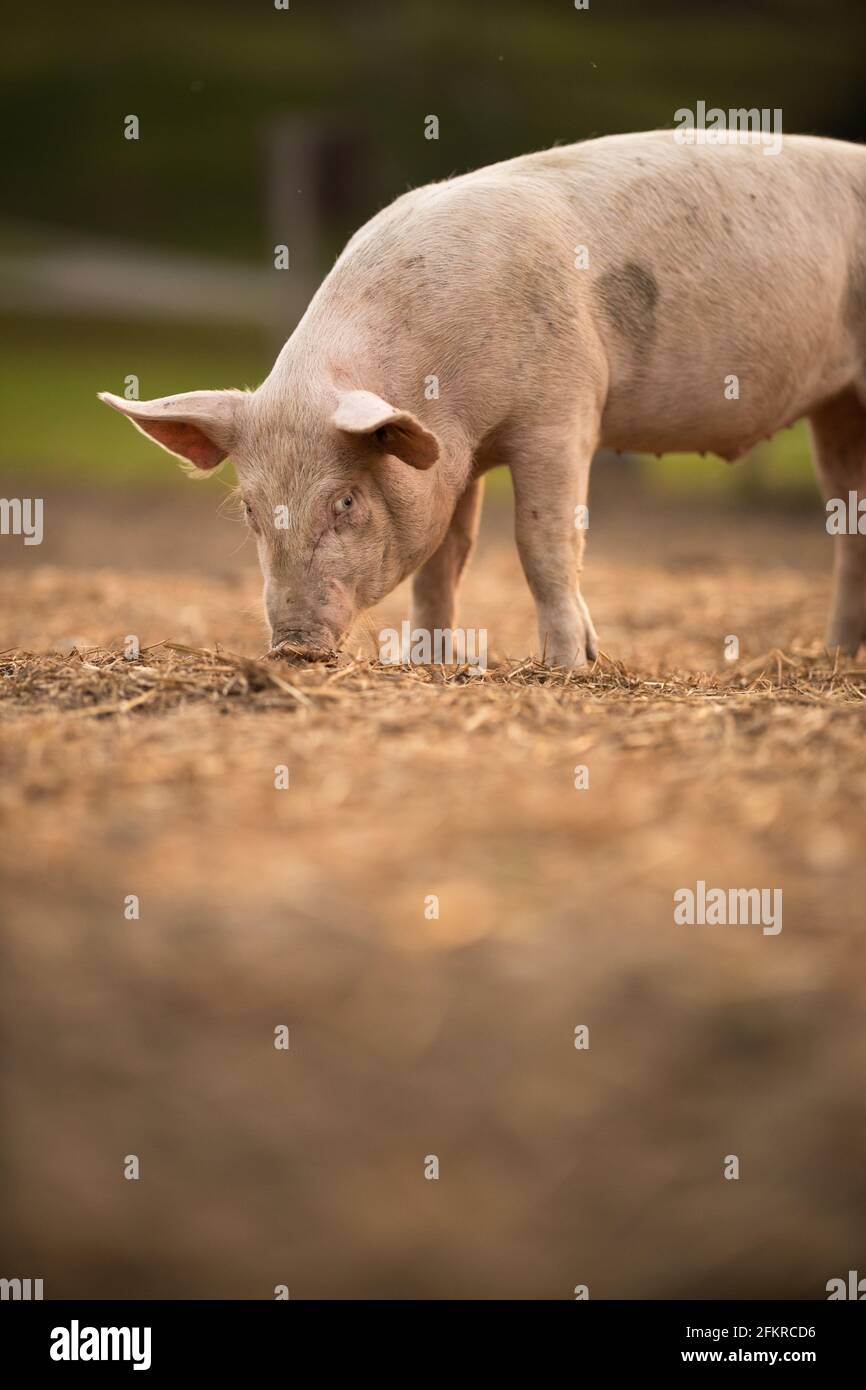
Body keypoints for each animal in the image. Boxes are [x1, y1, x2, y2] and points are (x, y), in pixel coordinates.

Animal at [99, 128, 866, 663]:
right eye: (251, 510)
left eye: (344, 501)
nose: (292, 647)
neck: (453, 409)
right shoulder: (450, 462)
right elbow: (443, 563)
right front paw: (426, 662)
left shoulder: (563, 413)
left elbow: (543, 541)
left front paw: (570, 665)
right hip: (838, 410)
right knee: (848, 517)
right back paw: (838, 655)